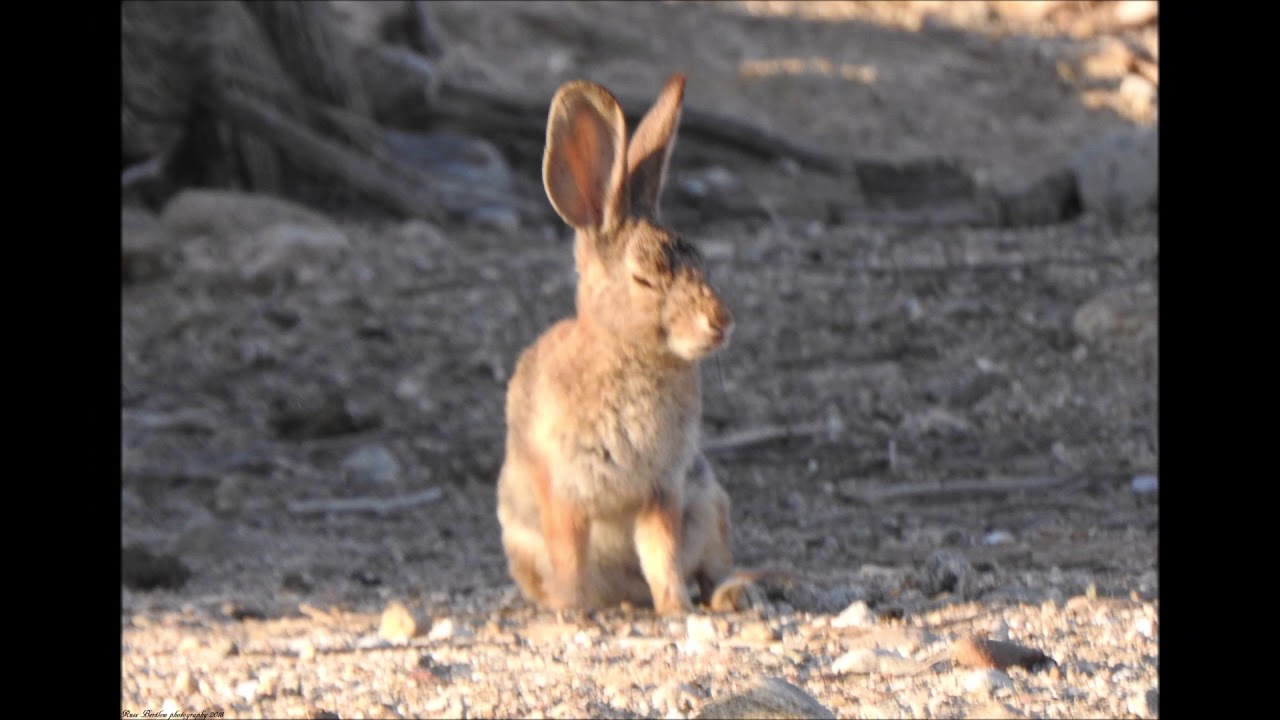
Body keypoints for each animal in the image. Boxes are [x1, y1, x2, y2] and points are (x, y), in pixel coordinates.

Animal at [496, 72, 736, 614]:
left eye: (702, 264)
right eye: (644, 280)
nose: (720, 322)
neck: (629, 353)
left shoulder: (663, 489)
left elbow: (662, 555)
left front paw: (675, 609)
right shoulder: (561, 490)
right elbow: (569, 556)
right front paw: (571, 611)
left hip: (709, 502)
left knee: (711, 565)